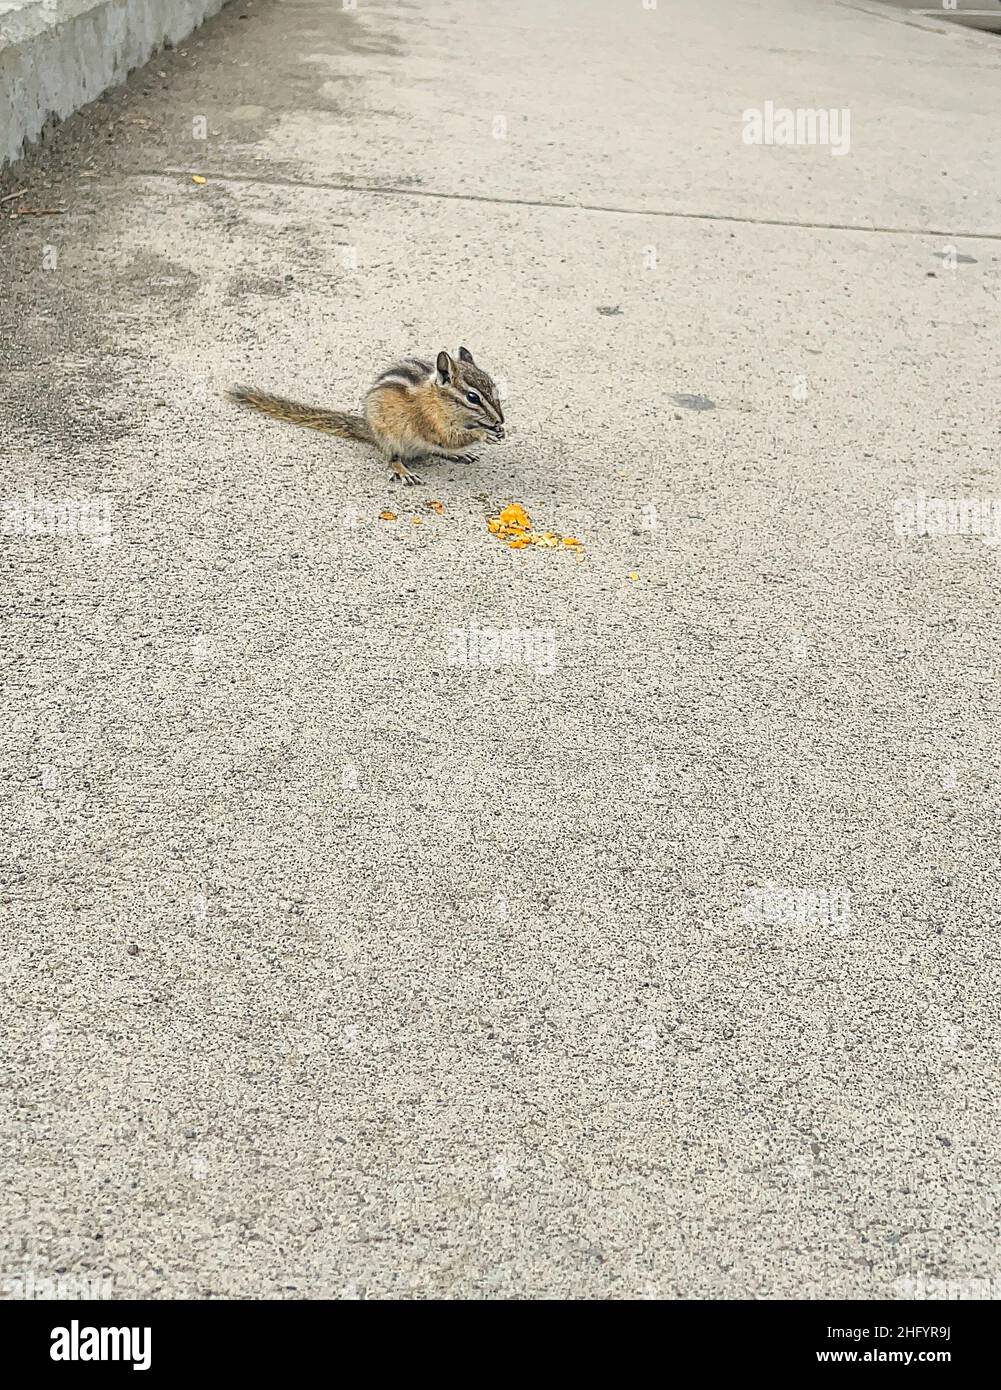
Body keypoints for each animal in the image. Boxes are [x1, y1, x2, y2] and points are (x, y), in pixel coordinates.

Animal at [226, 347, 505, 485]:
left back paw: (457, 455)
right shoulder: (430, 422)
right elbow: (448, 437)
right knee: (394, 456)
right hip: (390, 437)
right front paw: (483, 433)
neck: (438, 399)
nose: (500, 421)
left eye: (494, 389)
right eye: (472, 397)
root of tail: (370, 430)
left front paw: (493, 431)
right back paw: (402, 469)